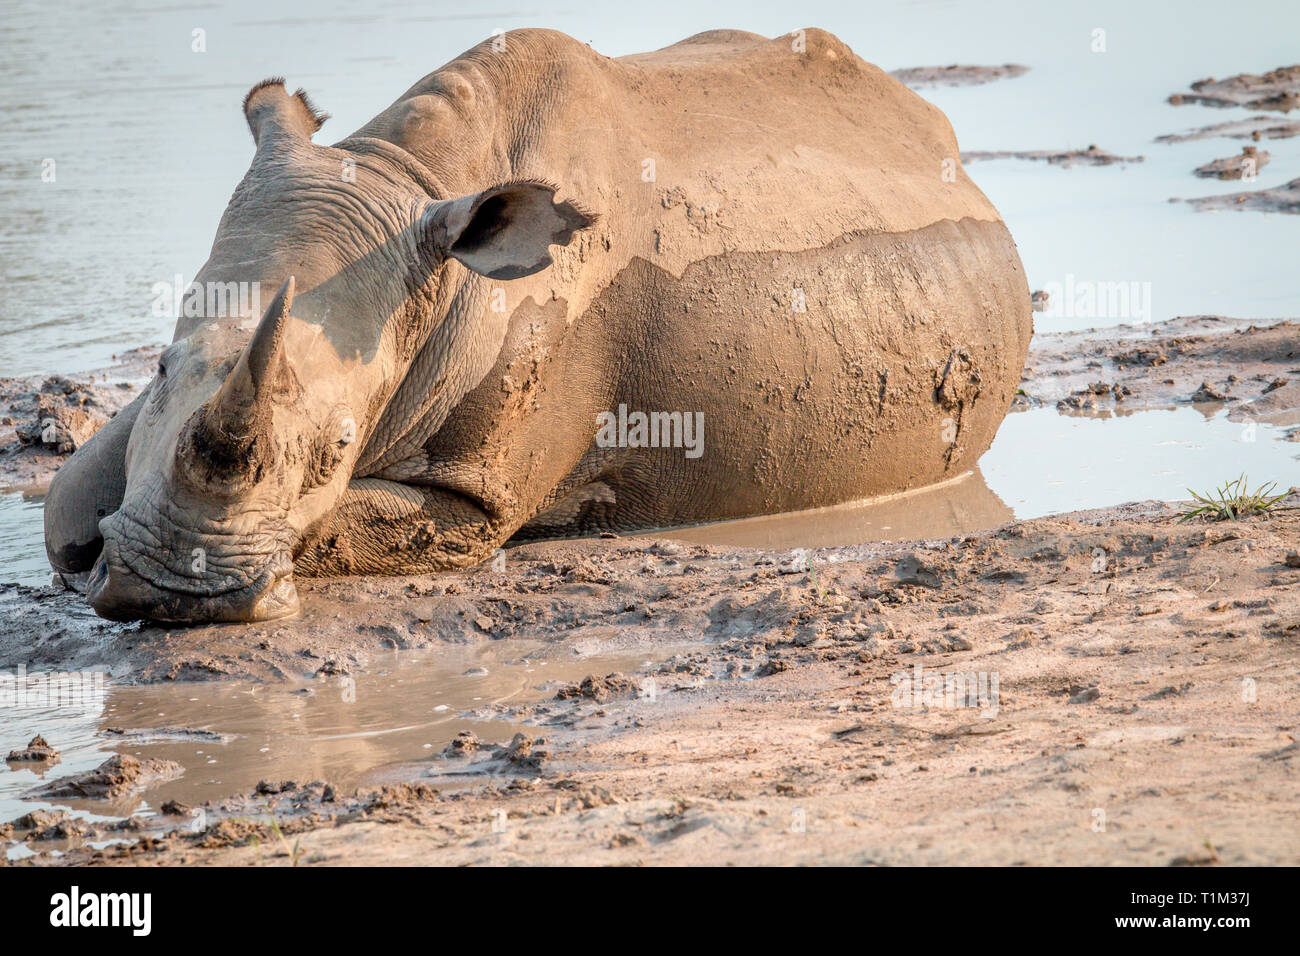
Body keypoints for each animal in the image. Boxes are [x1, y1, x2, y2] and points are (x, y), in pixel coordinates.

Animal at [44, 28, 1031, 623]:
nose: (170, 593)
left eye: (339, 449)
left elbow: (347, 525)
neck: (406, 174)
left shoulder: (478, 496)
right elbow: (66, 496)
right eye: (160, 368)